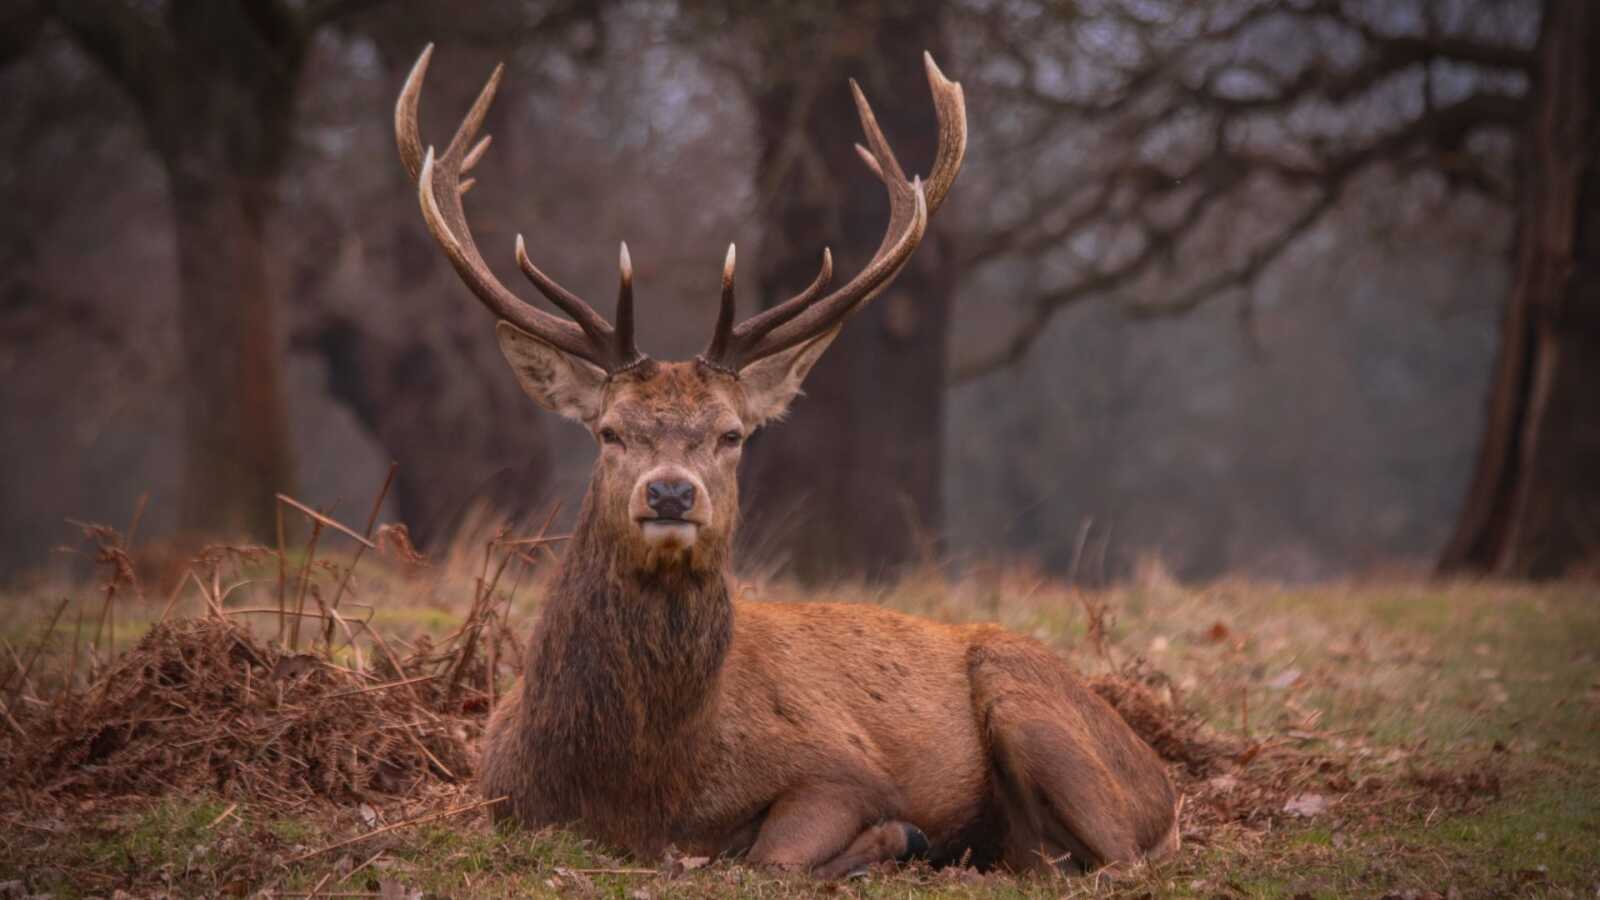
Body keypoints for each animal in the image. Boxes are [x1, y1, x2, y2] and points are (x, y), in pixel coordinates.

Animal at [394, 44, 1180, 877]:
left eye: (733, 434)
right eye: (609, 431)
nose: (670, 494)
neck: (643, 787)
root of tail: (1162, 783)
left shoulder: (840, 766)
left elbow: (775, 853)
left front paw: (889, 838)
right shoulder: (500, 793)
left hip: (1032, 704)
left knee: (1118, 856)